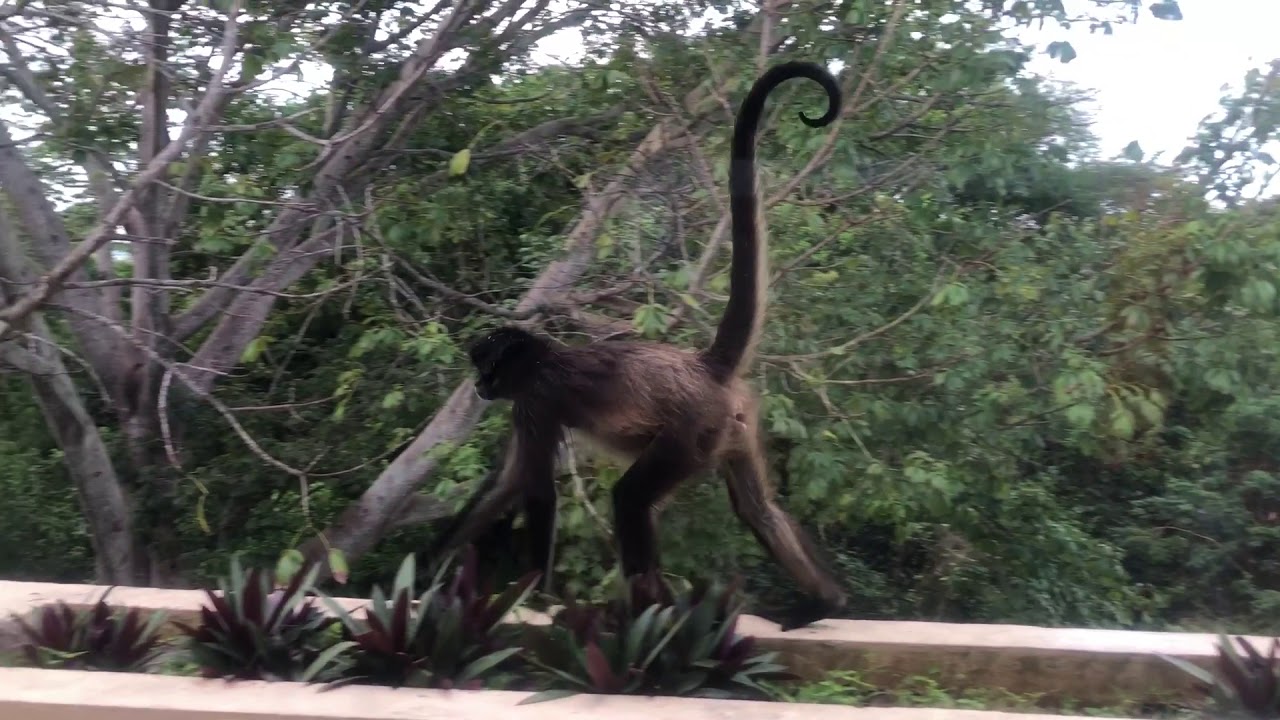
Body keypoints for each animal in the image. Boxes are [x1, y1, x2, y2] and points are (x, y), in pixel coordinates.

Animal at [426, 61, 848, 630]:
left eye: (485, 367)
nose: (477, 385)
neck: (543, 358)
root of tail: (704, 366)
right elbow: (507, 482)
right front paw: (428, 561)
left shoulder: (535, 398)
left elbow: (536, 490)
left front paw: (530, 591)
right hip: (732, 423)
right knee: (758, 509)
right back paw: (826, 602)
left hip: (693, 429)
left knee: (629, 499)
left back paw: (651, 612)